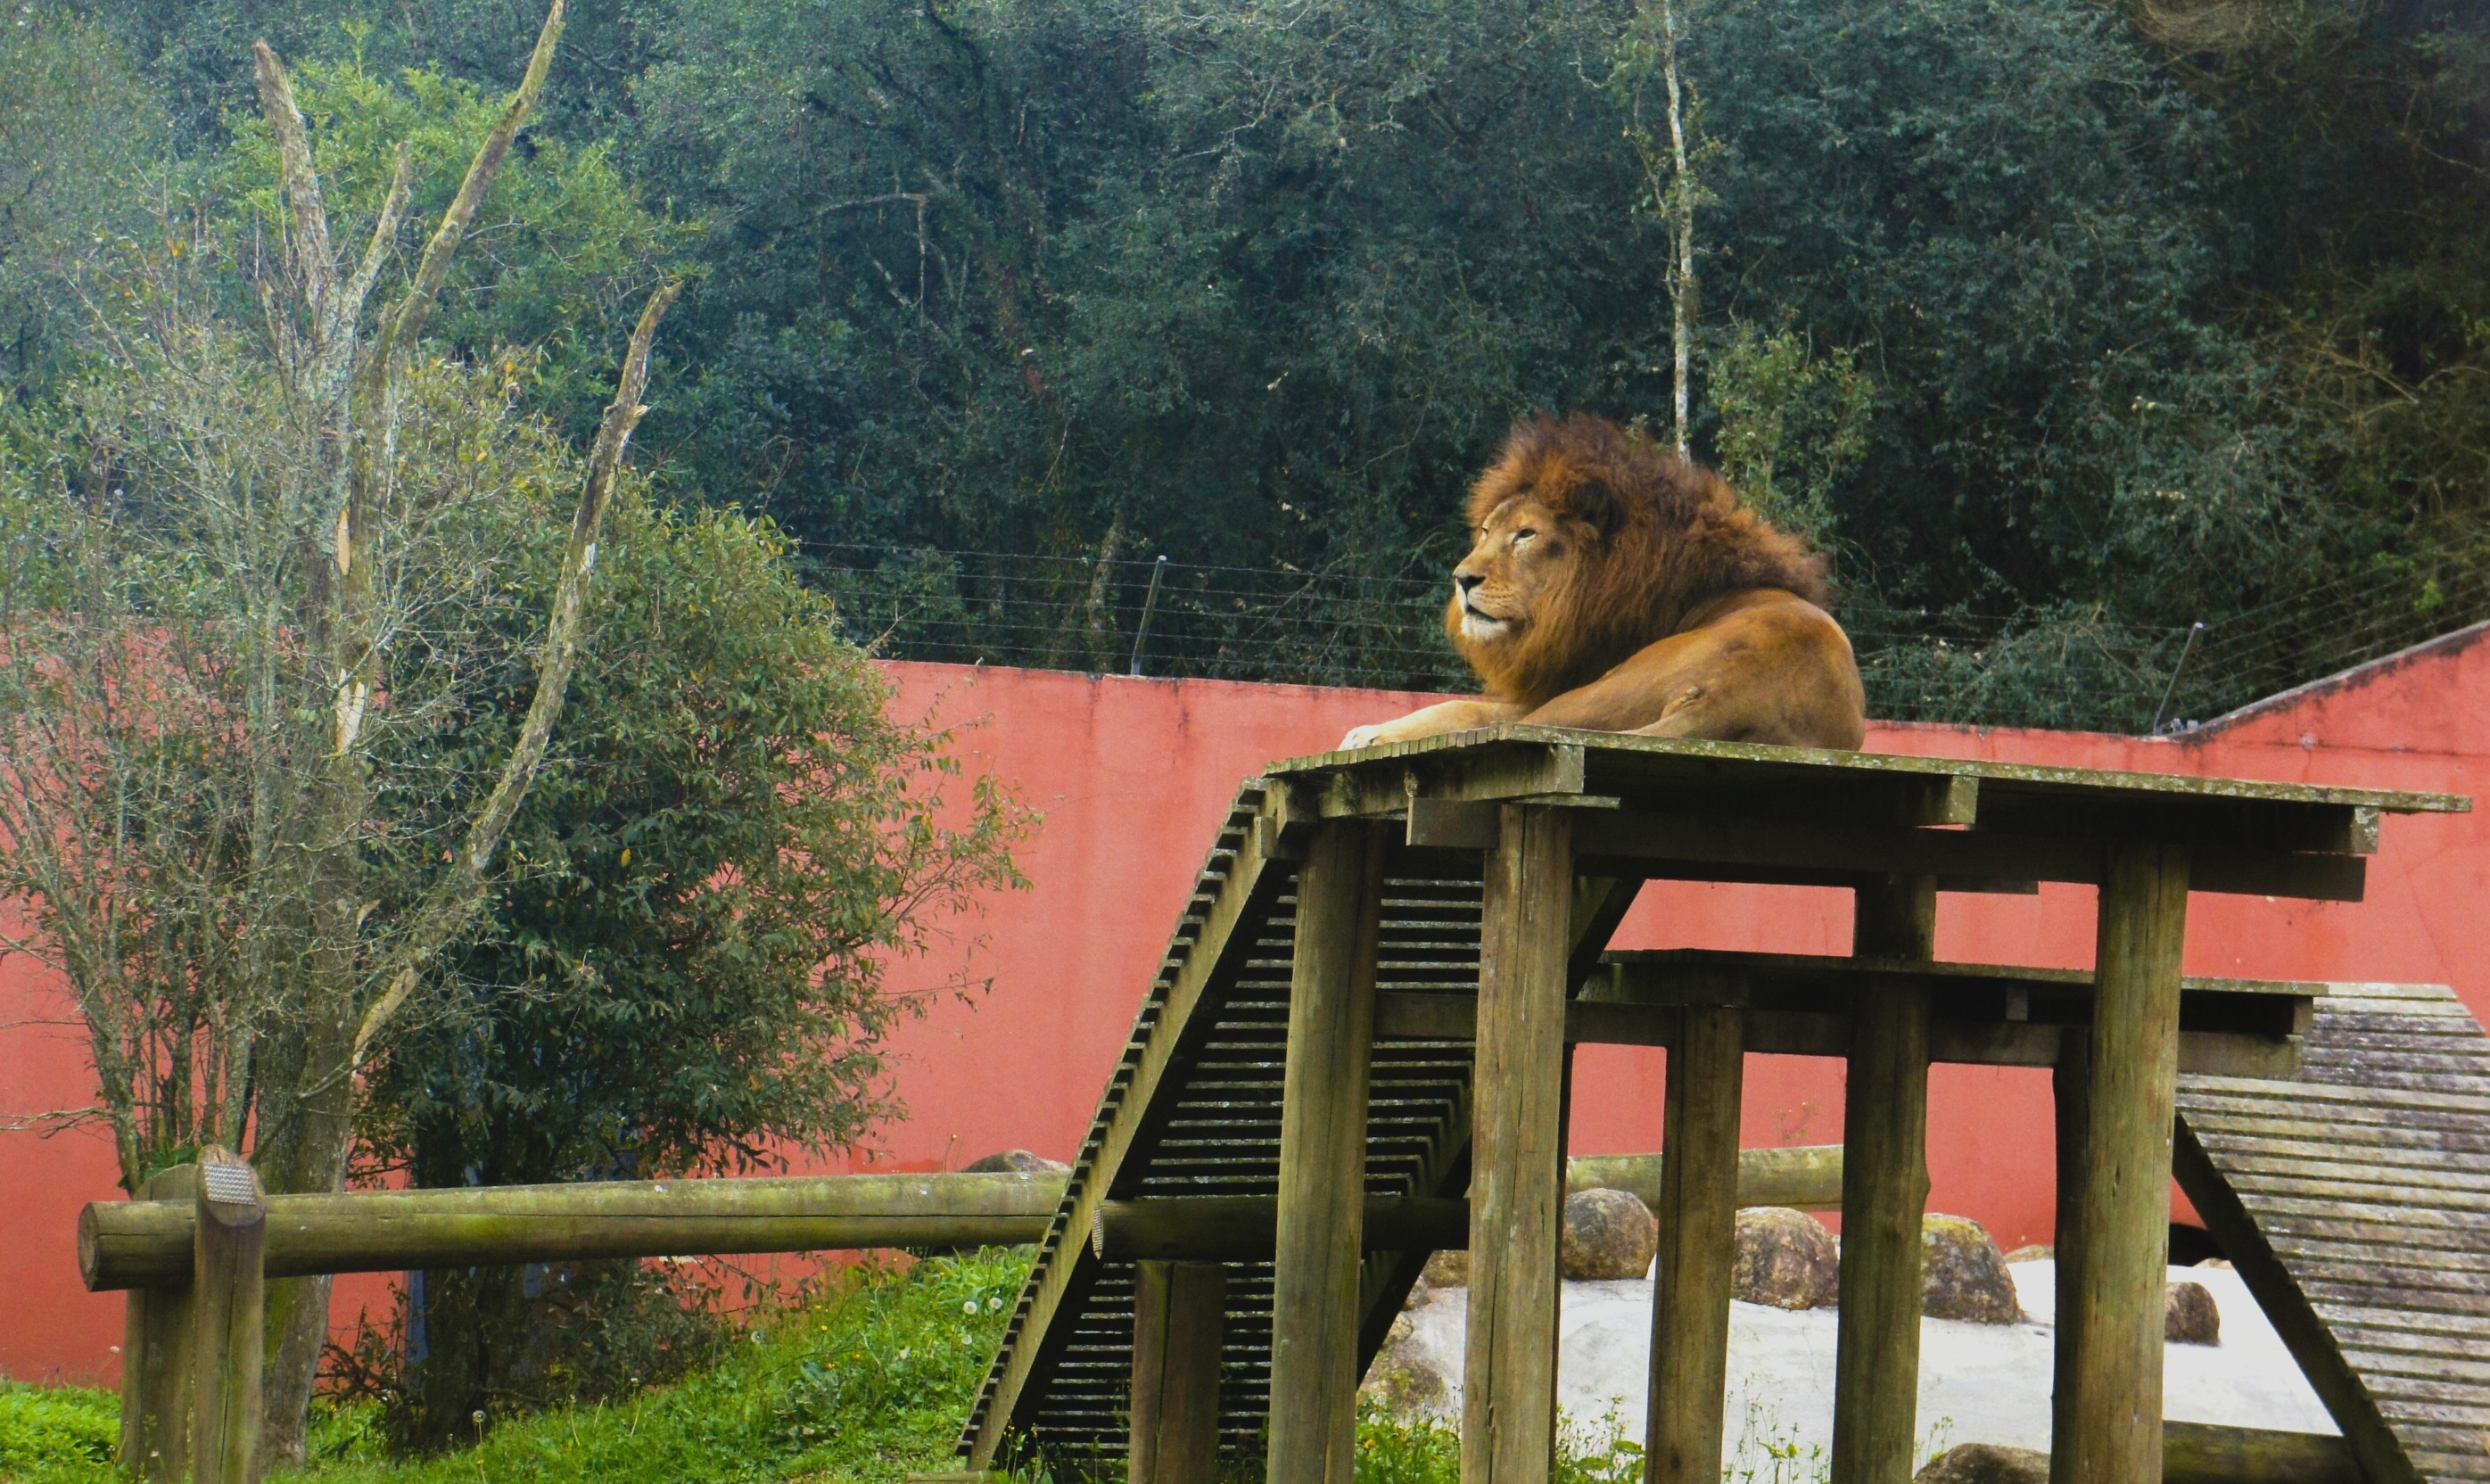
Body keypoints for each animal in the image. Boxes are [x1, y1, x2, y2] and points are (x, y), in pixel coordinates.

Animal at [1340, 414, 1867, 751]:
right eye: (1486, 531)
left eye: (1526, 534)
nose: (1462, 579)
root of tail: (1733, 698)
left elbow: (1460, 709)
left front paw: (1369, 731)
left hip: (1592, 696)